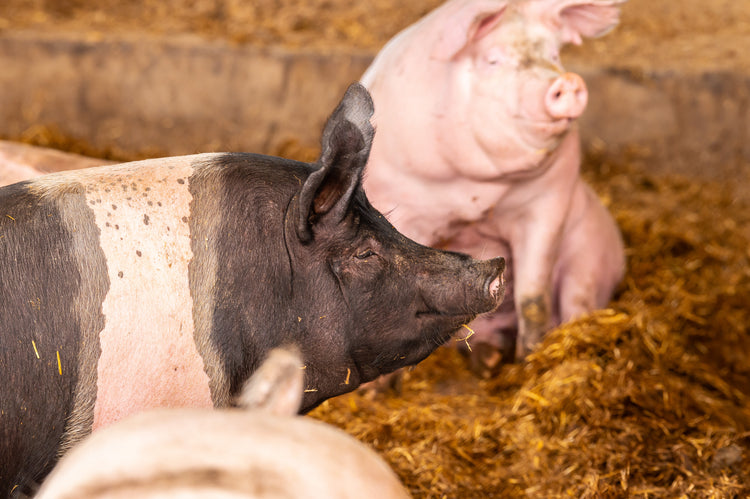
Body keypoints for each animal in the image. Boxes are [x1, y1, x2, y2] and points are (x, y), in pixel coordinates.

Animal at [360, 0, 626, 370]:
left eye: (555, 55)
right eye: (492, 60)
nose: (568, 82)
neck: (476, 191)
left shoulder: (549, 201)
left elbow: (533, 296)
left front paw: (528, 362)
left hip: (590, 255)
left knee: (577, 304)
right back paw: (488, 361)